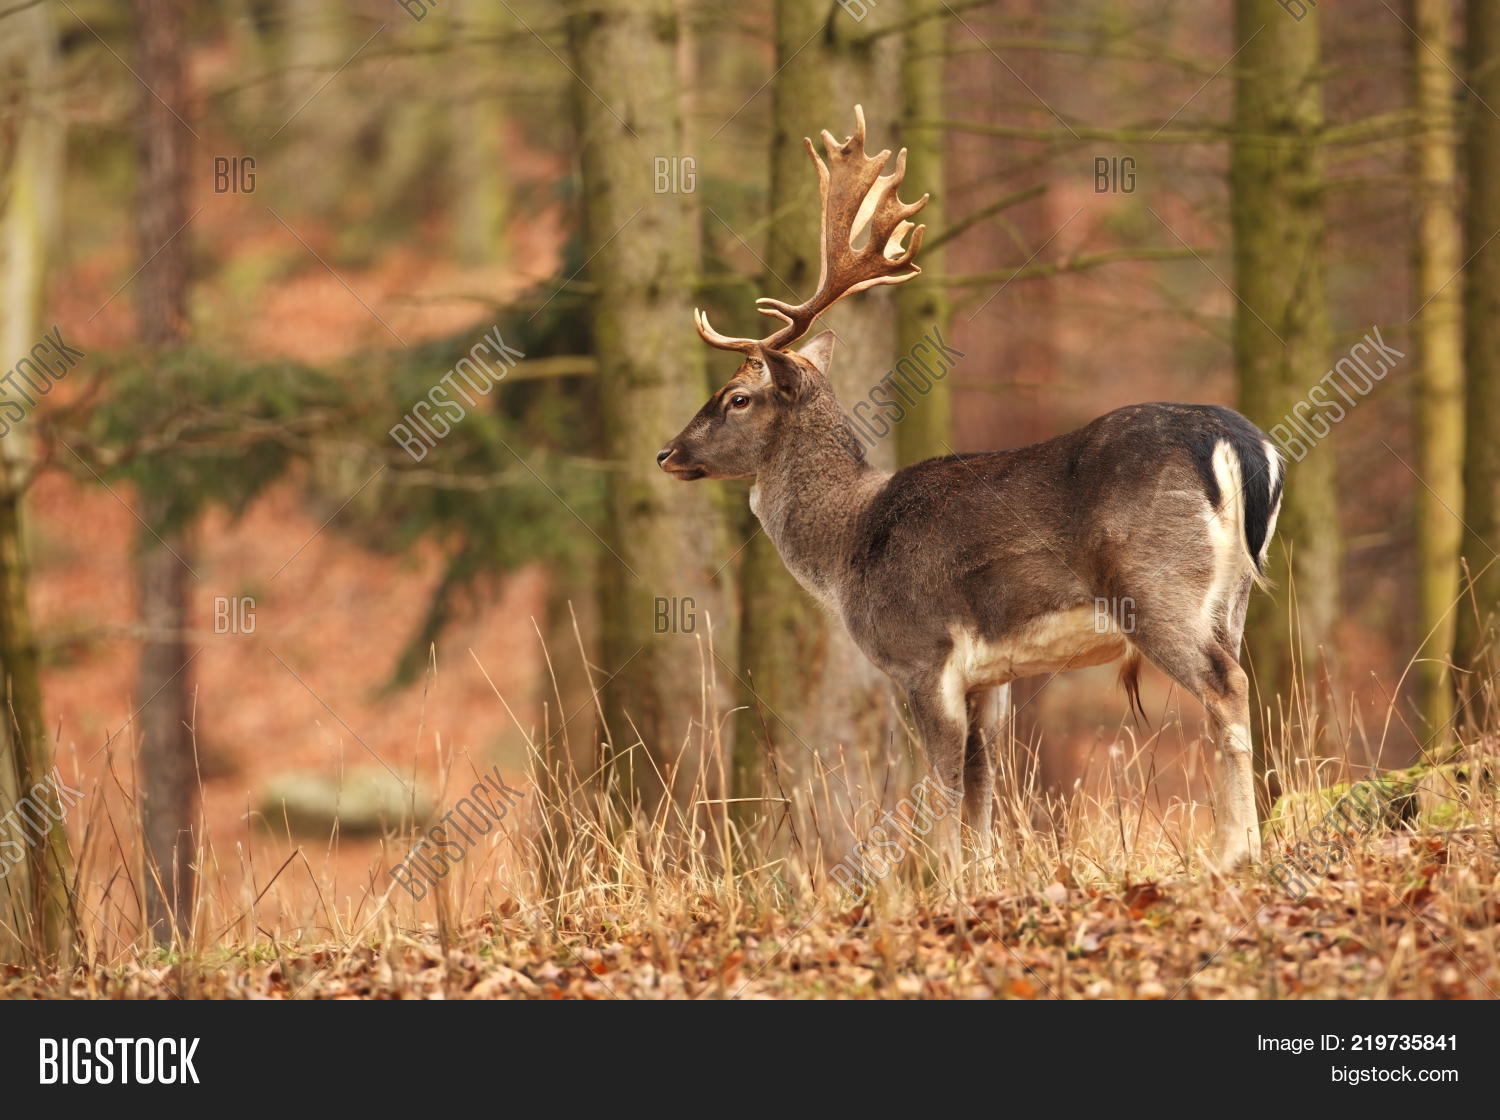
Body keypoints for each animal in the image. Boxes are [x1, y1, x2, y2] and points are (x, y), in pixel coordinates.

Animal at [657, 106, 1284, 874]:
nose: (667, 453)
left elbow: (942, 784)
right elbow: (983, 787)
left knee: (1226, 687)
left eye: (738, 398)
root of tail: (1245, 445)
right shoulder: (991, 676)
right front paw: (982, 875)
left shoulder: (920, 653)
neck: (845, 546)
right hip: (1233, 597)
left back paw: (1233, 853)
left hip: (1158, 587)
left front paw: (942, 879)